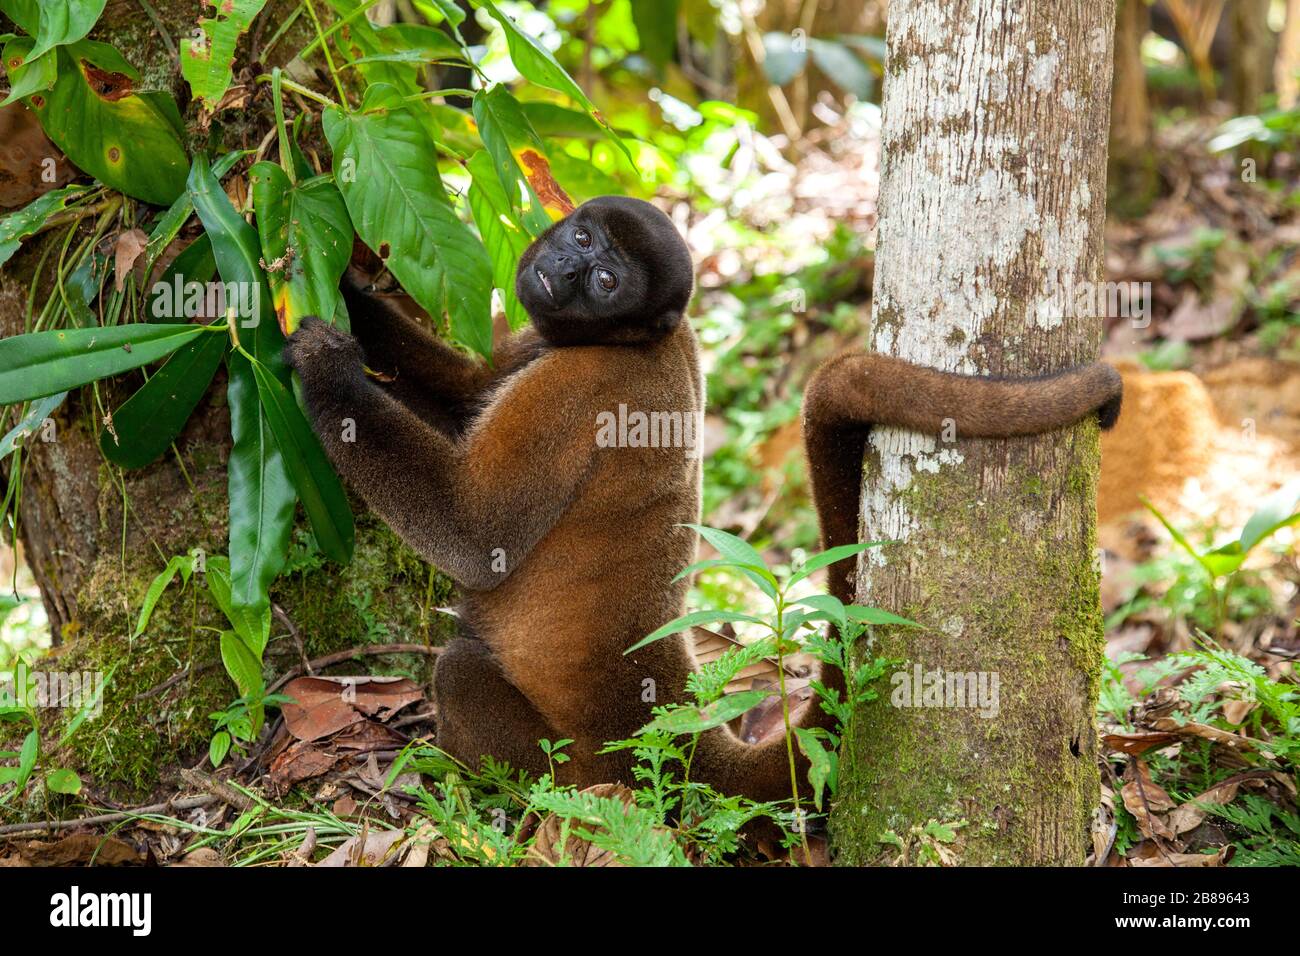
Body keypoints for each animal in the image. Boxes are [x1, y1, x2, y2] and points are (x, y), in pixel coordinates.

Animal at [283, 195, 1122, 806]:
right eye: (583, 238)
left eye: (607, 284)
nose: (568, 265)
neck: (631, 338)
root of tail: (682, 735)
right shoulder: (538, 348)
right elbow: (462, 396)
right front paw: (346, 273)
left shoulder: (578, 389)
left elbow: (472, 532)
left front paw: (329, 367)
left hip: (579, 767)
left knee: (462, 670)